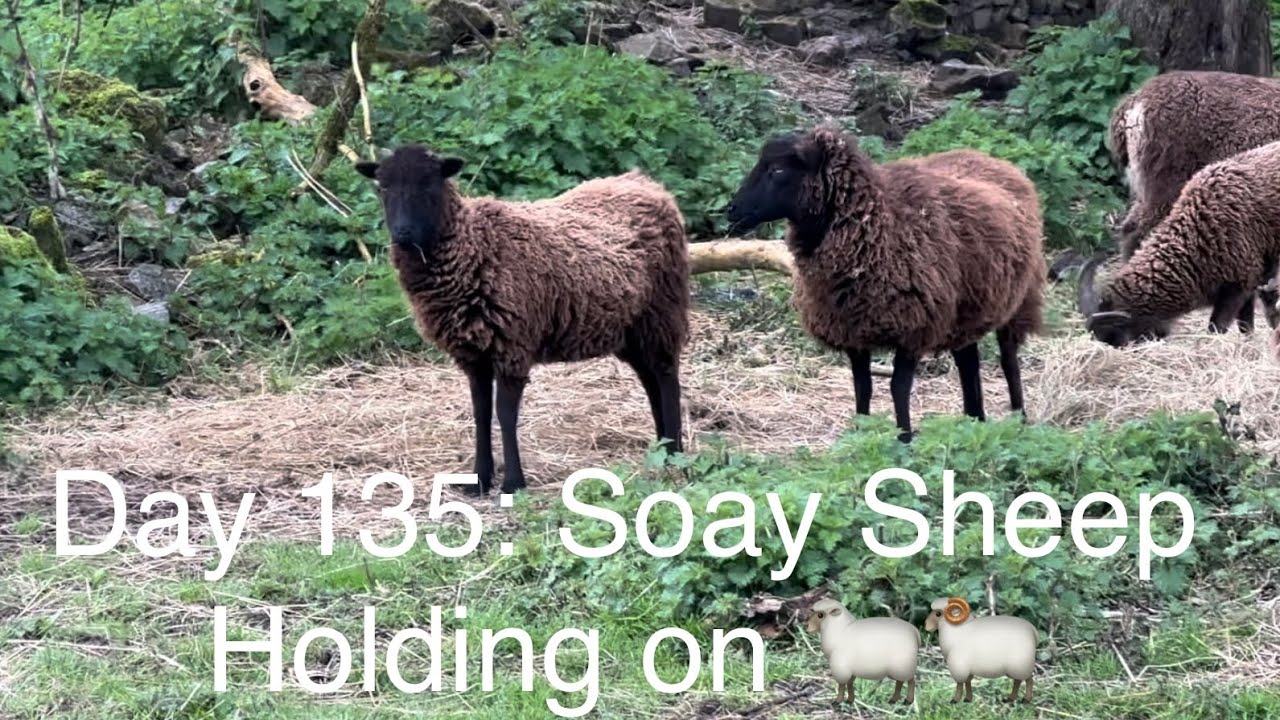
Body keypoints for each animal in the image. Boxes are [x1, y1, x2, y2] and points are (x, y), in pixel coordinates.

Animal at [355, 144, 690, 495]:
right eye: (383, 186)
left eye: (429, 183)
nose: (402, 233)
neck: (472, 245)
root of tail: (646, 183)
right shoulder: (473, 353)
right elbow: (480, 413)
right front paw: (478, 479)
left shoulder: (512, 344)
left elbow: (505, 414)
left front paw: (513, 482)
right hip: (631, 329)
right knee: (650, 380)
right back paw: (662, 451)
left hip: (662, 311)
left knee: (667, 378)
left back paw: (676, 456)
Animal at [724, 127, 1046, 442]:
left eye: (777, 170)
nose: (731, 210)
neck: (877, 224)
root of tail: (992, 159)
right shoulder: (851, 330)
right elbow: (862, 387)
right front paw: (859, 437)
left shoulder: (913, 328)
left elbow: (897, 388)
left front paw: (904, 441)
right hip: (967, 310)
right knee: (969, 362)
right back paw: (974, 421)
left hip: (1021, 298)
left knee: (1008, 361)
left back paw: (1019, 421)